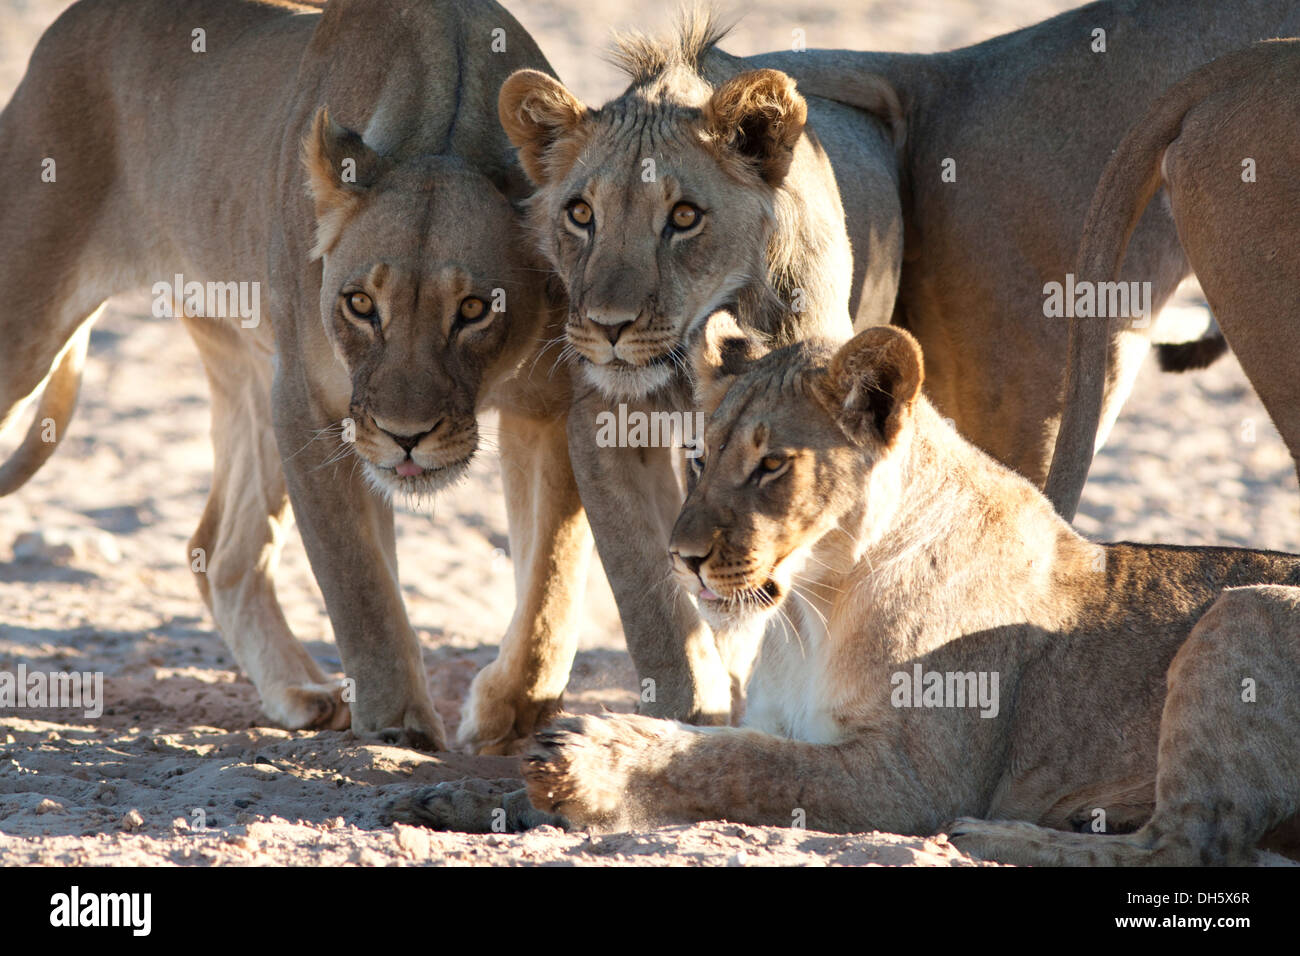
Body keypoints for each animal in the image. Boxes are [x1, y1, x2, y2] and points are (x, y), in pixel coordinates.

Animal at [0, 0, 592, 751]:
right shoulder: (310, 404)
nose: (405, 437)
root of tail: (56, 31)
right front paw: (398, 727)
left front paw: (511, 708)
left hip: (249, 364)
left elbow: (551, 576)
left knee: (219, 552)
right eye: (361, 305)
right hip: (30, 328)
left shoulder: (549, 403)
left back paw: (299, 695)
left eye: (474, 309)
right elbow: (359, 585)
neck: (446, 122)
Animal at [512, 317, 1300, 866]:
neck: (814, 611)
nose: (683, 559)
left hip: (1250, 605)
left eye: (772, 465)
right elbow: (739, 745)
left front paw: (586, 761)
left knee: (1192, 842)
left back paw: (994, 836)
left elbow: (739, 762)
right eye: (700, 458)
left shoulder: (914, 781)